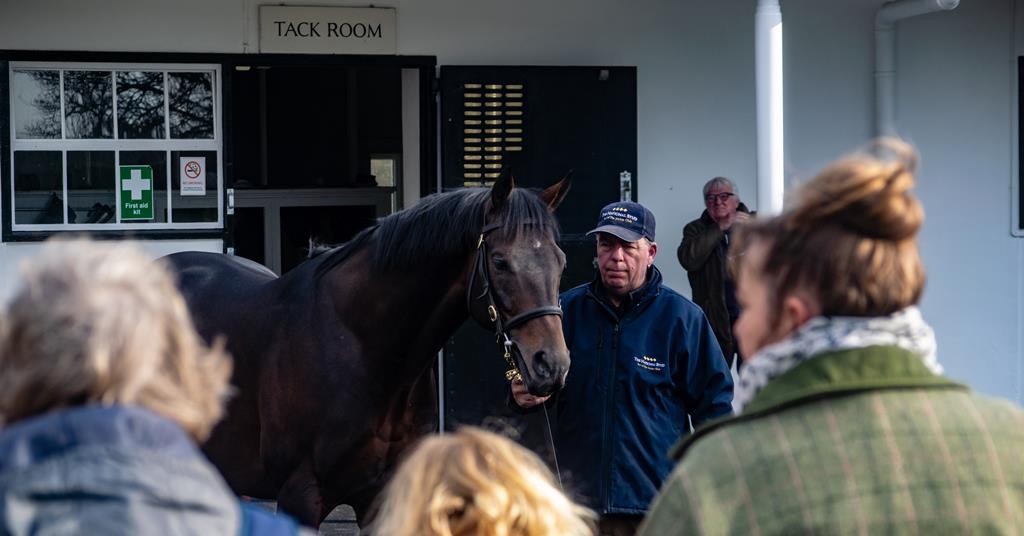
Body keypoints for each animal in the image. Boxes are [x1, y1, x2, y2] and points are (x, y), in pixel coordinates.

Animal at [162, 173, 572, 527]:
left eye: (561, 260)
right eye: (500, 262)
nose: (551, 365)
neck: (364, 346)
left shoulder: (380, 497)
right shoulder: (299, 495)